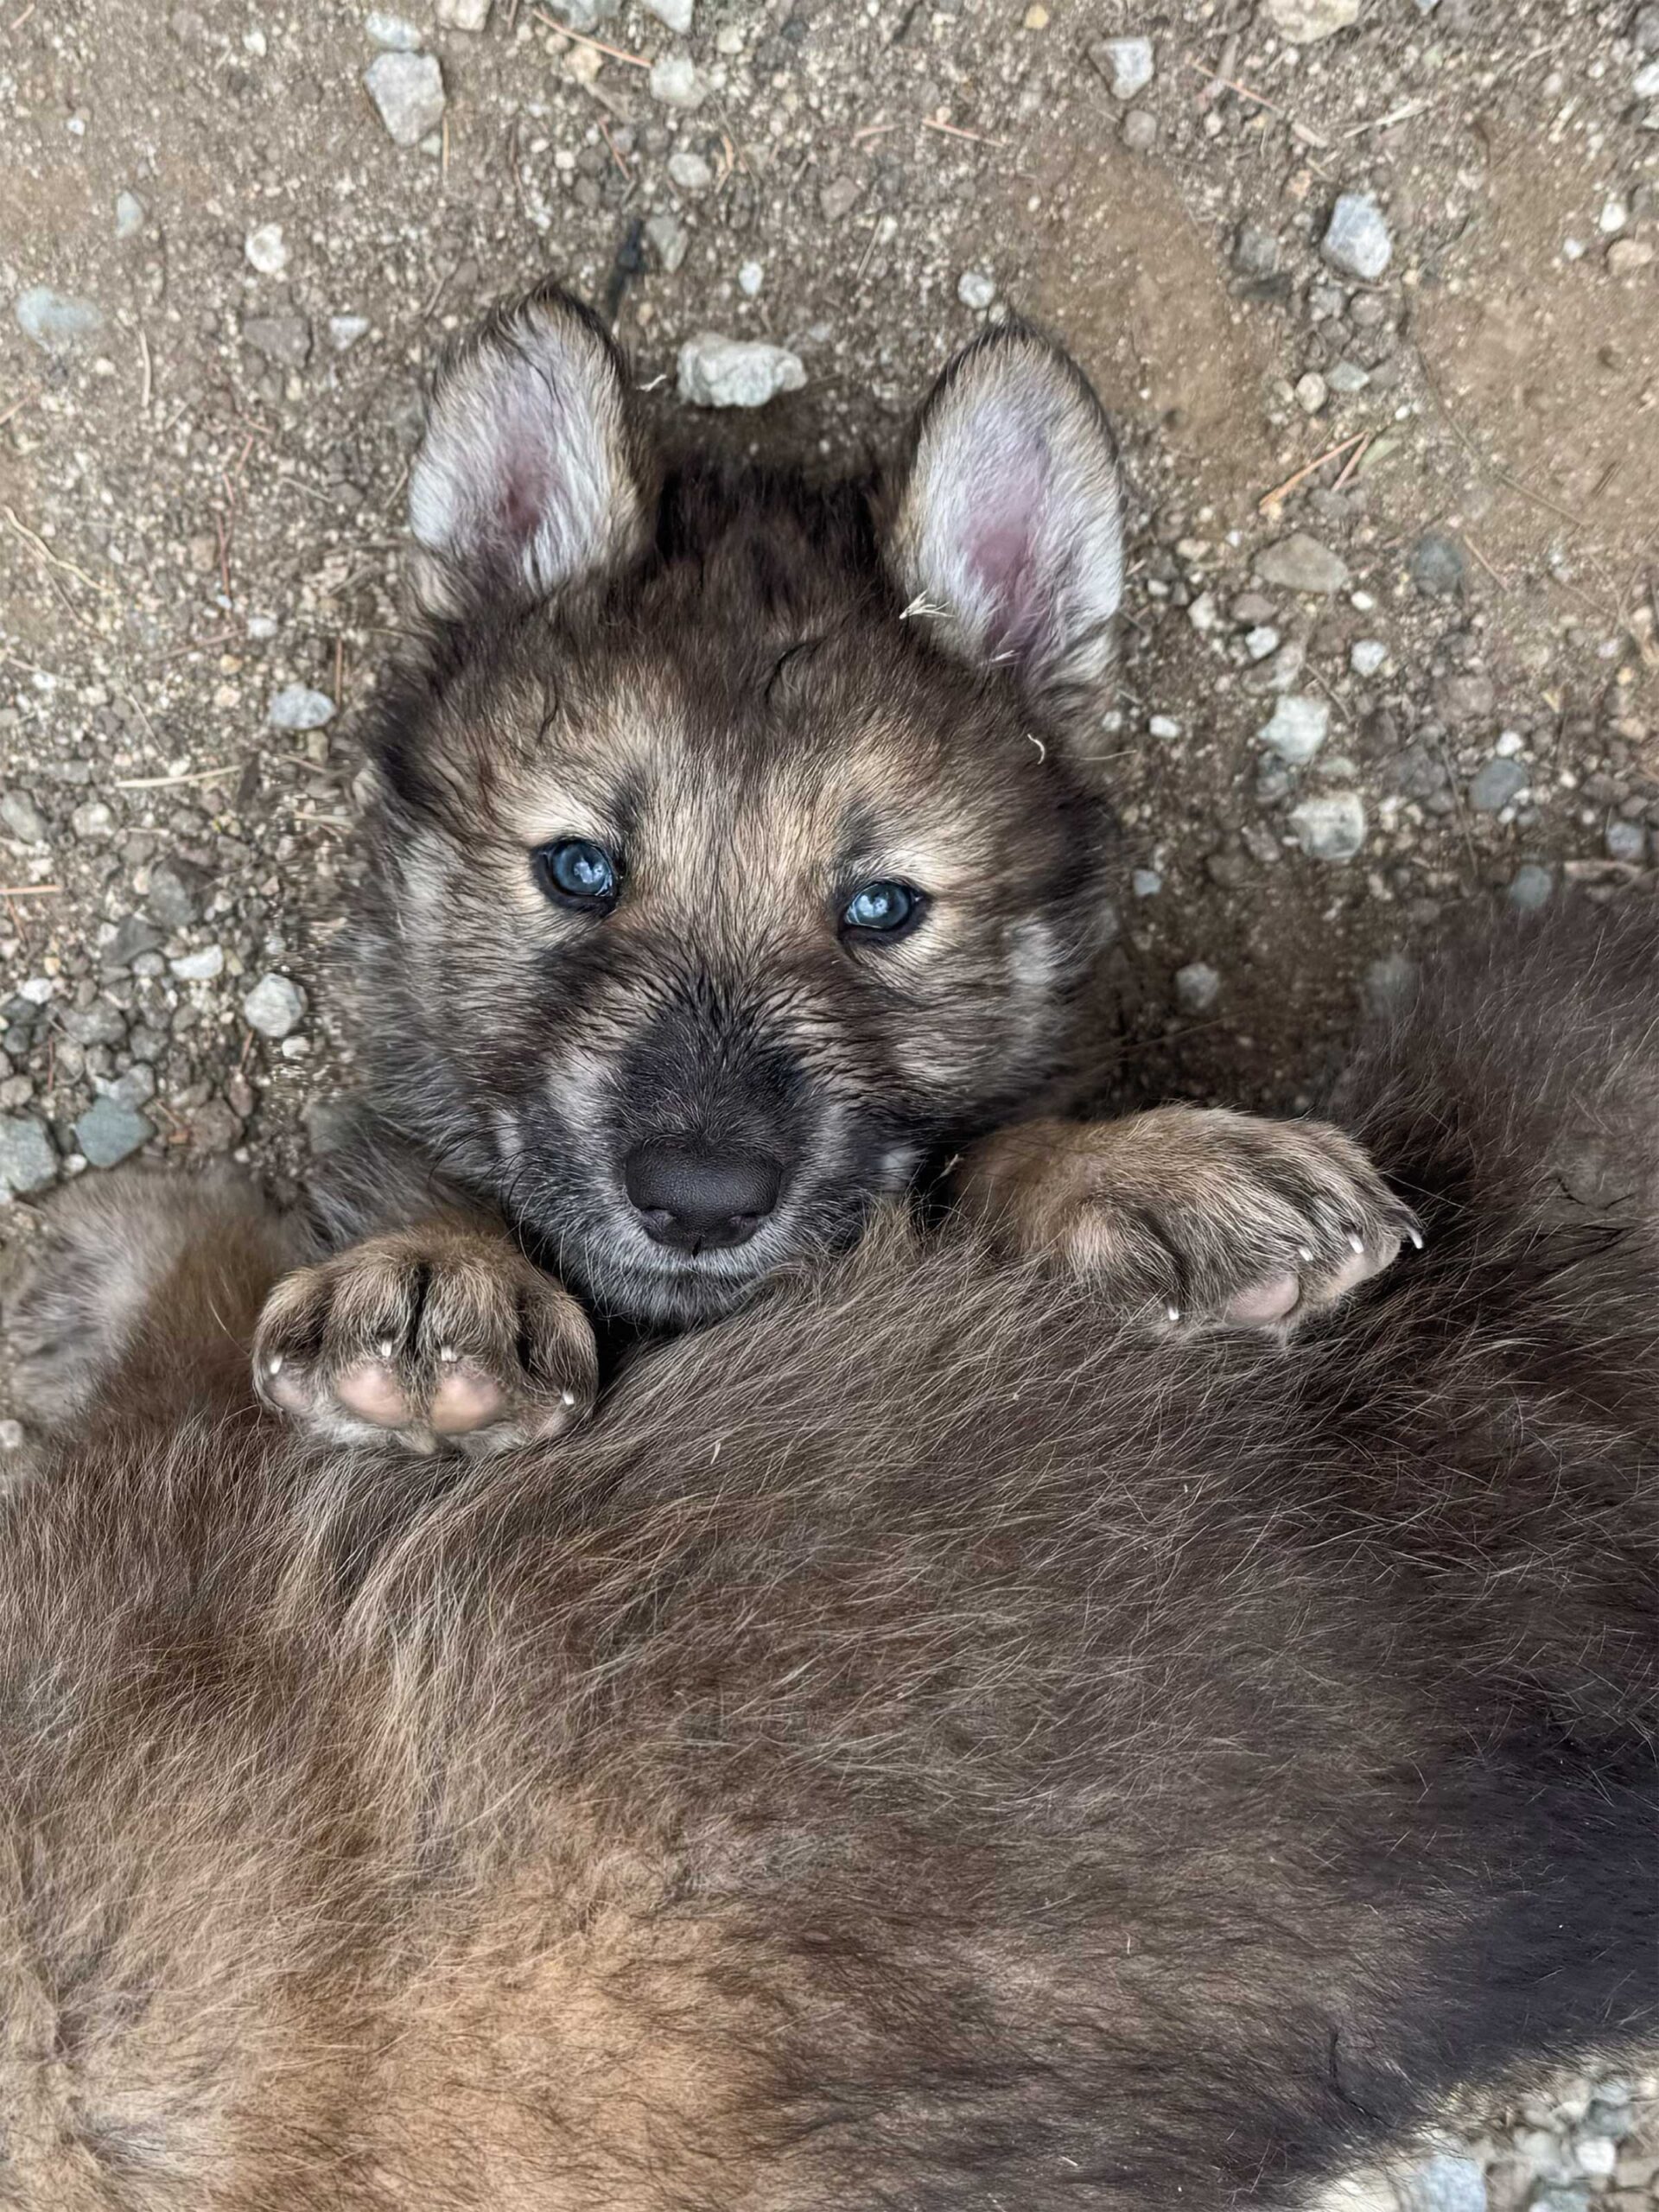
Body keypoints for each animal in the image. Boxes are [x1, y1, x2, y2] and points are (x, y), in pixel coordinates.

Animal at [253, 284, 1412, 1457]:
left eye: (881, 905)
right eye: (578, 869)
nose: (701, 1198)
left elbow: (989, 1155)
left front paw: (1149, 1172)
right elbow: (412, 1171)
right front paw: (439, 1271)